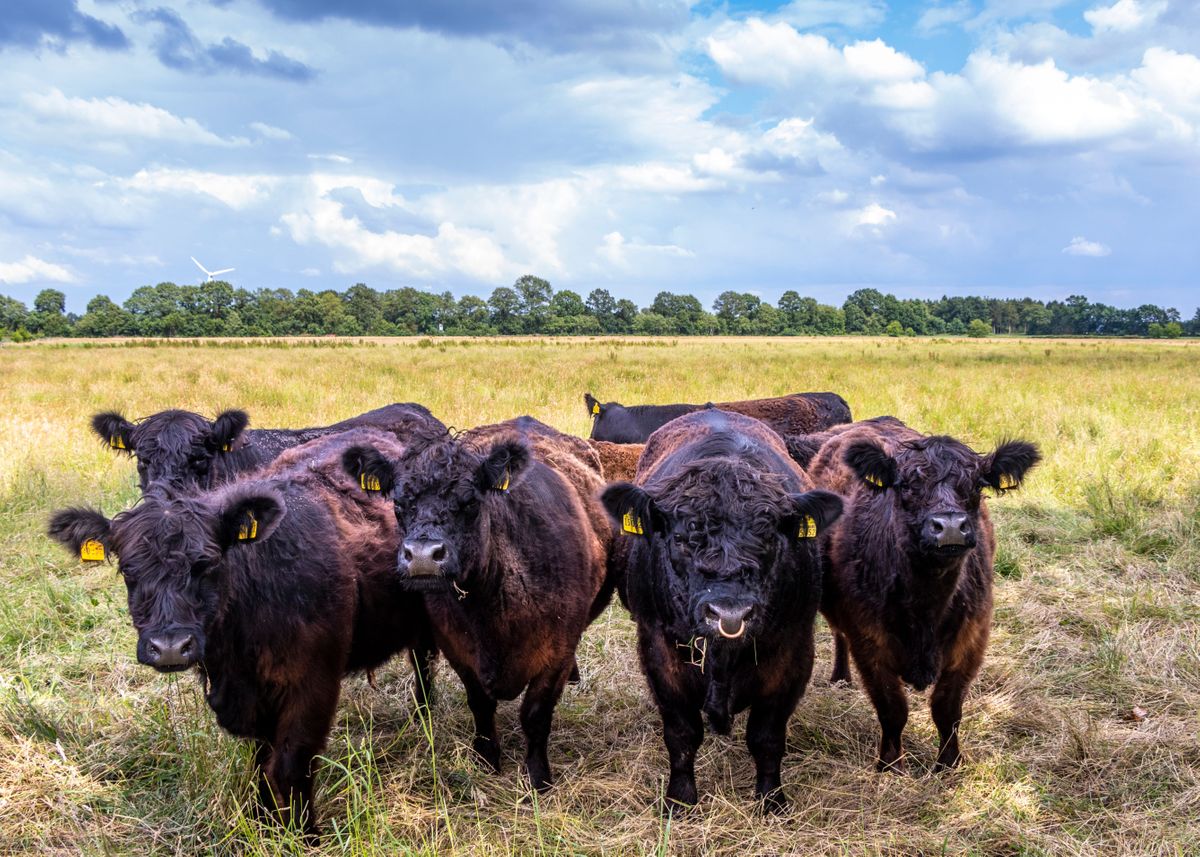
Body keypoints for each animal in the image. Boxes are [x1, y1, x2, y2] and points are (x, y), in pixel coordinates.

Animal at [47, 428, 437, 834]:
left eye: (208, 563)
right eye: (128, 570)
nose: (169, 646)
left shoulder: (313, 685)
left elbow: (290, 767)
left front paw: (305, 834)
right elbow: (261, 764)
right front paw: (264, 822)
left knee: (423, 663)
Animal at [342, 422, 609, 792]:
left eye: (470, 501)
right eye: (399, 503)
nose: (422, 557)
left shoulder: (558, 650)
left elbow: (536, 714)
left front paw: (539, 776)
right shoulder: (458, 648)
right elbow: (480, 705)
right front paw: (486, 759)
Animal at [600, 409, 843, 812]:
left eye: (769, 536)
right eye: (681, 539)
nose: (730, 614)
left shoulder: (793, 651)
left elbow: (766, 735)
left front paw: (771, 800)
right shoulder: (658, 650)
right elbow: (682, 734)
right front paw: (680, 800)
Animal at [807, 420, 1040, 772]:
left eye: (976, 485)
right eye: (906, 486)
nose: (950, 527)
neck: (925, 606)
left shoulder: (972, 640)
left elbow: (947, 709)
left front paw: (948, 763)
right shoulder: (869, 643)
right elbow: (892, 709)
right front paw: (890, 765)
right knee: (838, 634)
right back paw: (841, 677)